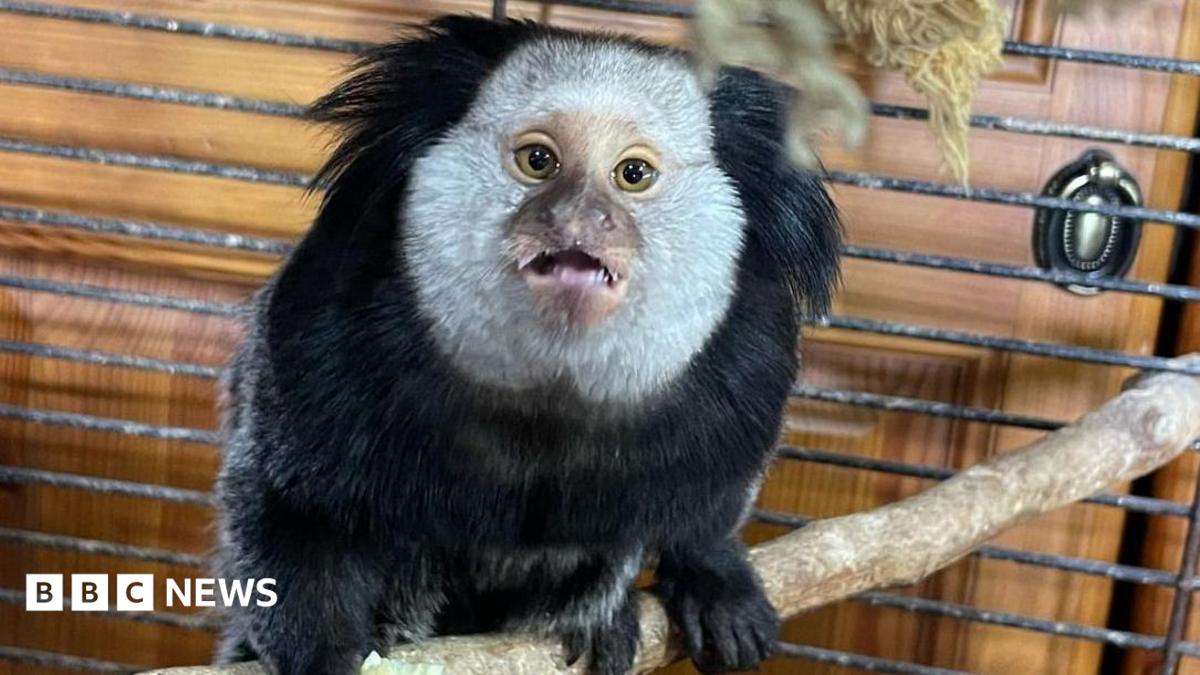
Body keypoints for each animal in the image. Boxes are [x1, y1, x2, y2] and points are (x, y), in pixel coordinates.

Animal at [213, 15, 840, 675]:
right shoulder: (318, 332)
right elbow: (288, 508)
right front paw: (325, 651)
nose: (580, 215)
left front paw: (714, 572)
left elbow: (712, 505)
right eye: (539, 160)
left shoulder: (751, 367)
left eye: (632, 174)